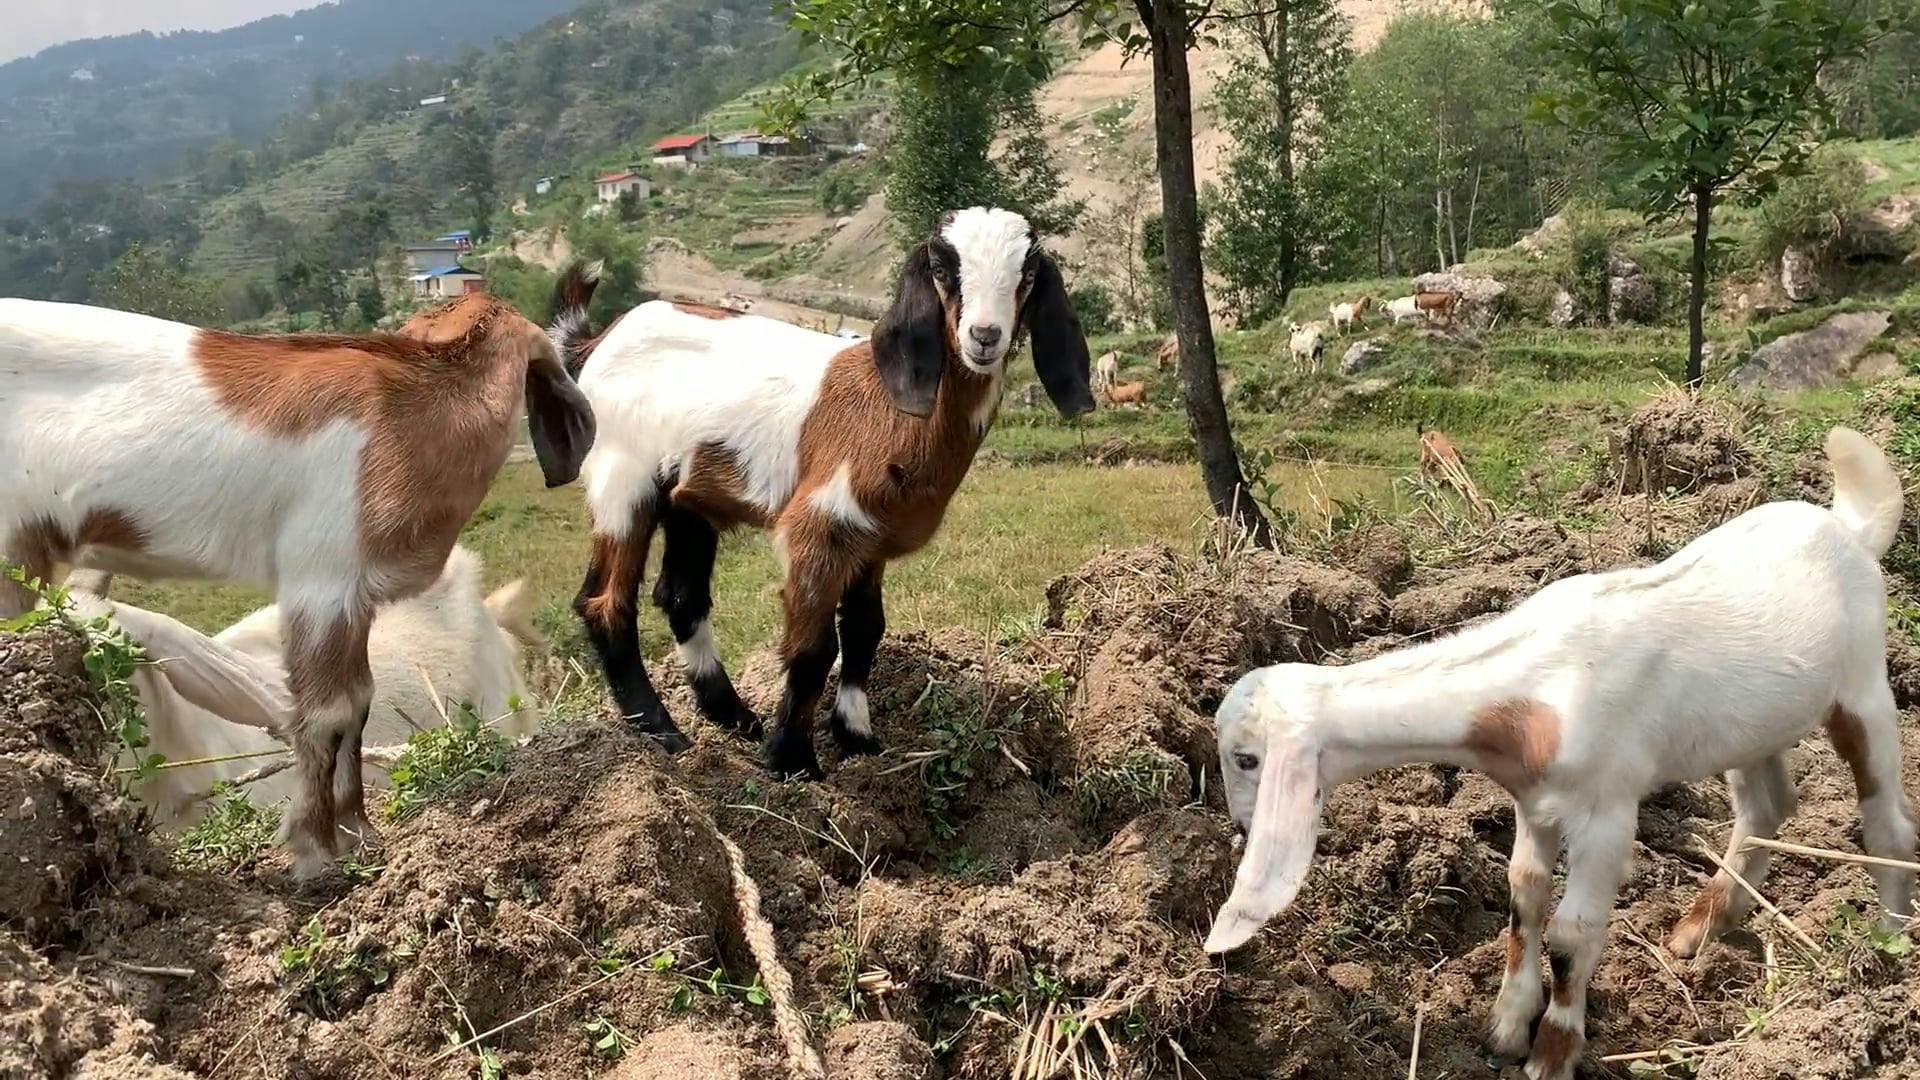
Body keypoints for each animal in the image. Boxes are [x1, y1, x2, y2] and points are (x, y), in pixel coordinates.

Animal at [551, 206, 1093, 778]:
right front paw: (793, 761)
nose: (984, 336)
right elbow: (814, 648)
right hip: (620, 476)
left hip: (686, 492)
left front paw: (857, 737)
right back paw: (663, 732)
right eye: (942, 269)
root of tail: (594, 342)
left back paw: (733, 716)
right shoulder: (819, 525)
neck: (891, 407)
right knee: (606, 602)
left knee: (682, 597)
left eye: (1028, 275)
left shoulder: (870, 539)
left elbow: (864, 630)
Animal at [1205, 427, 1917, 1080]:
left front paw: (1551, 1052)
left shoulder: (1608, 812)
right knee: (1767, 807)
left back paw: (1888, 954)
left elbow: (1573, 933)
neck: (1532, 693)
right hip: (1752, 724)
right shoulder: (1533, 802)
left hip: (1864, 690)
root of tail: (1851, 529)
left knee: (1888, 821)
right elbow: (1524, 896)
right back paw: (1698, 931)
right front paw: (1505, 1025)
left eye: (1246, 759)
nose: (1239, 827)